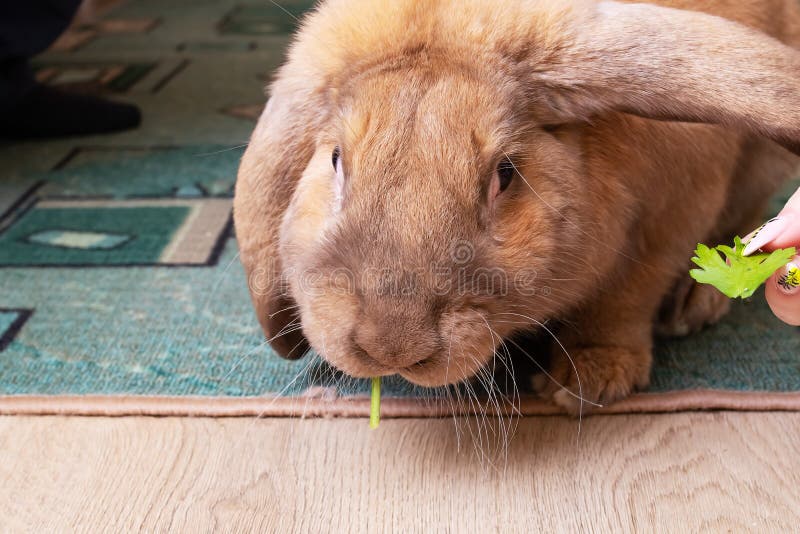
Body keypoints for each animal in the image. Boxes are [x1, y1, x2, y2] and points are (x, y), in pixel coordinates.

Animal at [234, 0, 800, 413]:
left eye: (504, 175)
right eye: (335, 159)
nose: (391, 346)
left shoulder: (670, 221)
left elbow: (623, 302)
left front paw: (586, 382)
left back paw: (695, 302)